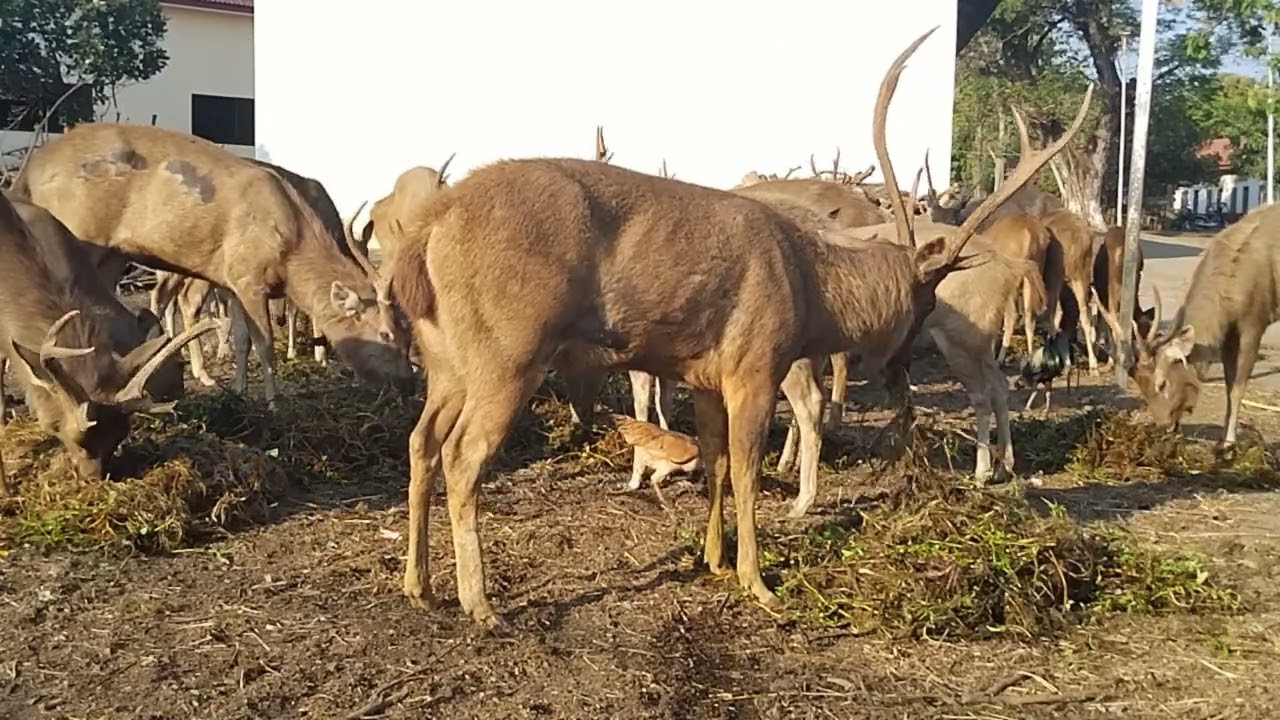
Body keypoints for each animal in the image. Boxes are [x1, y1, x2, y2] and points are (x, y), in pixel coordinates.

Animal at [11, 124, 415, 408]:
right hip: (80, 230)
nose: (409, 383)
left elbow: (240, 340)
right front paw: (273, 402)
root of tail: (28, 171)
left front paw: (238, 390)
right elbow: (263, 344)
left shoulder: (232, 279)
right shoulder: (248, 276)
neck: (292, 249)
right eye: (385, 334)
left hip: (113, 254)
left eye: (409, 334)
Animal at [373, 28, 1090, 629]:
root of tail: (426, 234)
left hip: (446, 359)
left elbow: (715, 460)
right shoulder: (754, 363)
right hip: (508, 351)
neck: (812, 293)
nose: (898, 358)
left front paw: (712, 559)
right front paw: (758, 581)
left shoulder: (704, 373)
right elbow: (747, 468)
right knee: (464, 456)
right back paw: (481, 604)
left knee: (419, 441)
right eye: (925, 292)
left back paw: (419, 585)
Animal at [1097, 202, 1279, 445]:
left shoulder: (1254, 322)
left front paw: (1229, 443)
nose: (1163, 425)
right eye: (1141, 389)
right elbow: (1229, 384)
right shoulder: (1229, 333)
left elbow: (1238, 387)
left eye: (1162, 384)